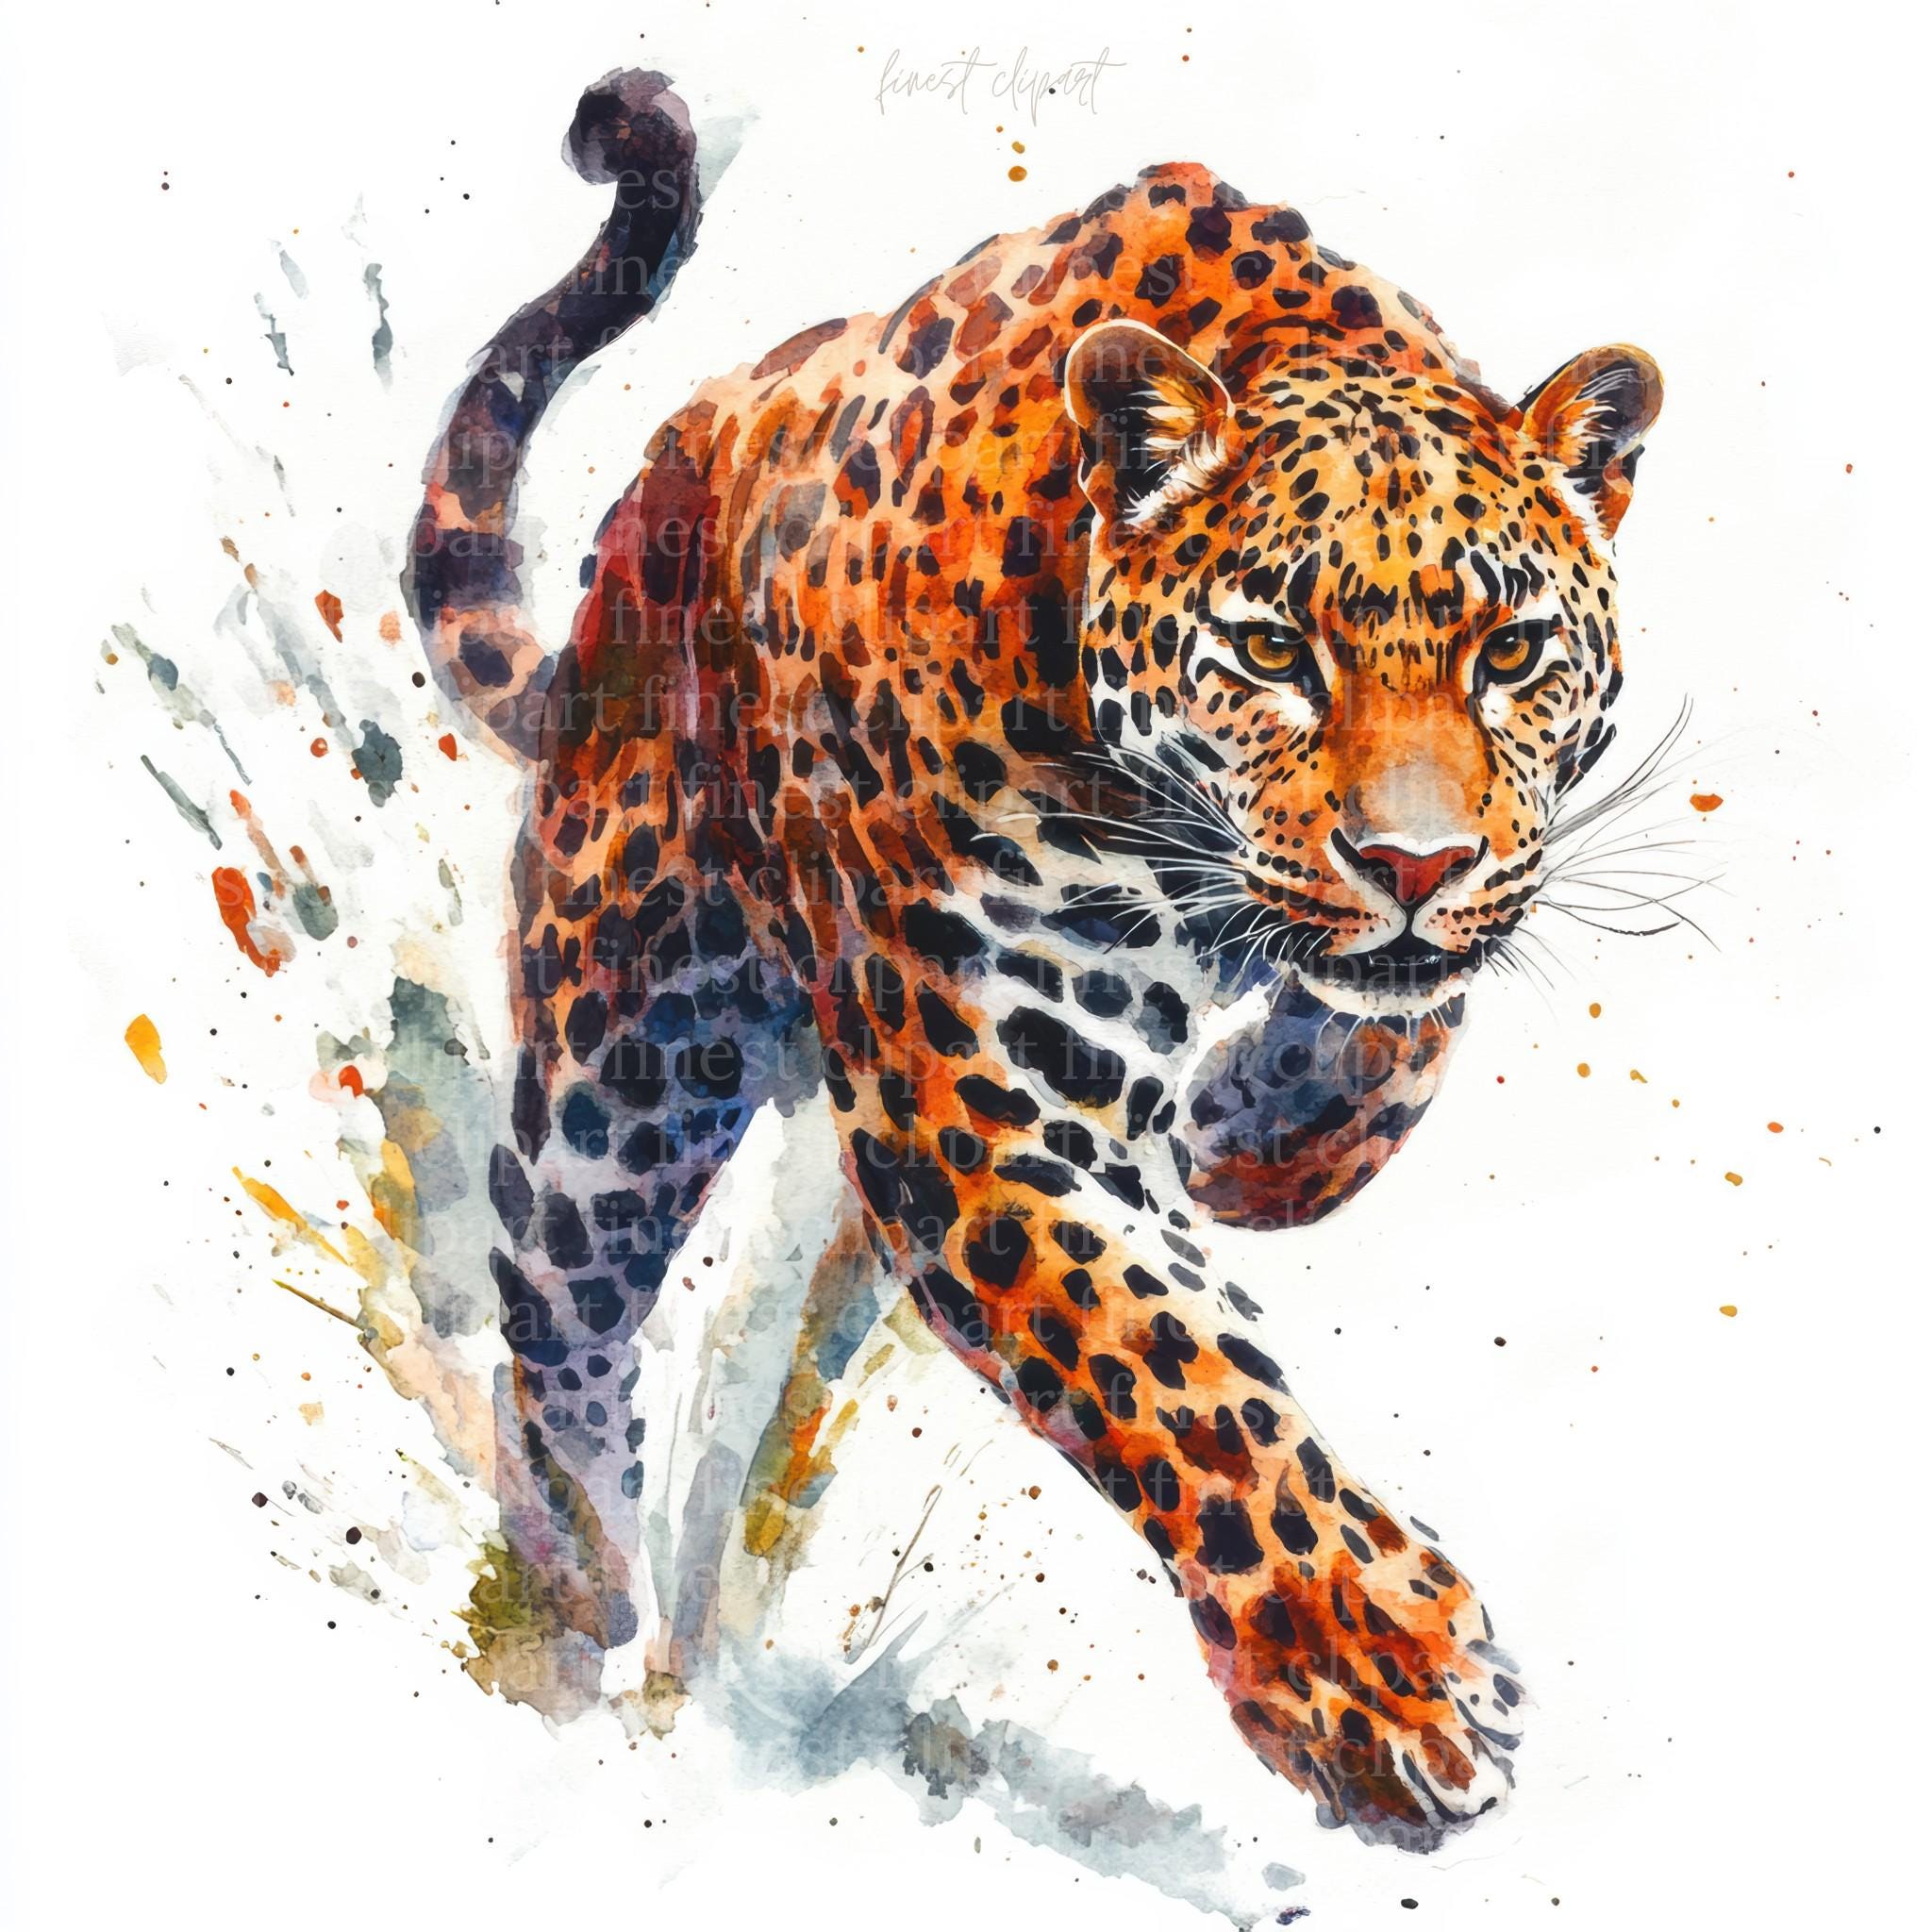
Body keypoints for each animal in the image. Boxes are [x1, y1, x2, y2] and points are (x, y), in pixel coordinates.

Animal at [405, 68, 1662, 1852]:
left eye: (1512, 652)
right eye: (1270, 649)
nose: (1414, 864)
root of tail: (685, 448)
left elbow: (1396, 1028)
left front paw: (1265, 1138)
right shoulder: (983, 1105)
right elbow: (1166, 1363)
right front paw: (1383, 1683)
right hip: (629, 1036)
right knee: (557, 1312)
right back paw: (576, 1606)